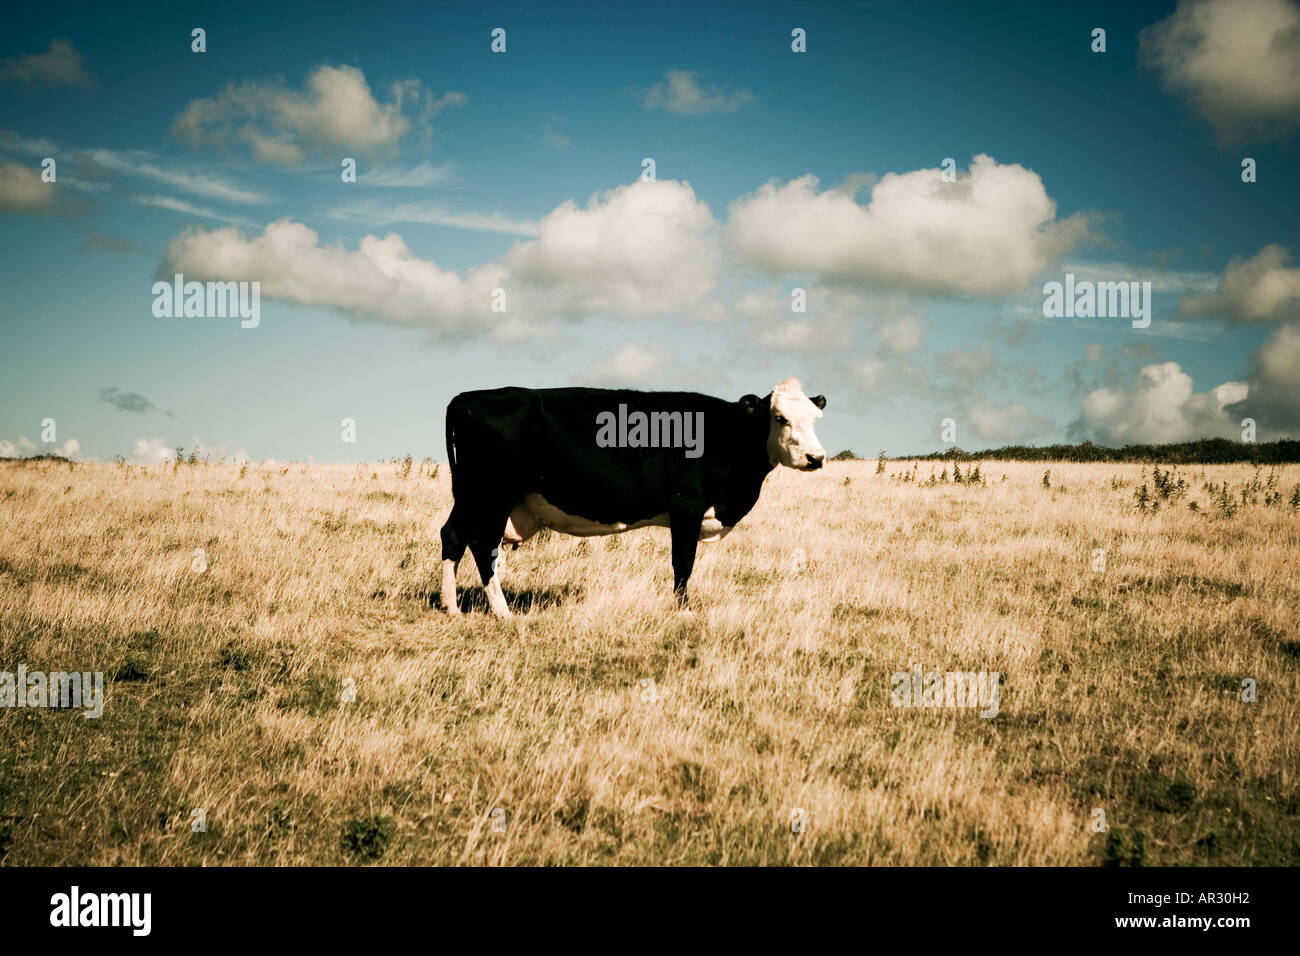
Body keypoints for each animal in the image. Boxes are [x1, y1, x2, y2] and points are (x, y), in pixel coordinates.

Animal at [438, 378, 827, 617]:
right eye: (780, 418)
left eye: (815, 418)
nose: (817, 457)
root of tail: (467, 398)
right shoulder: (686, 507)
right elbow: (683, 563)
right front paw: (684, 610)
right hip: (491, 494)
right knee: (482, 544)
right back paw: (503, 612)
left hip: (471, 496)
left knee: (453, 536)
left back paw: (452, 607)